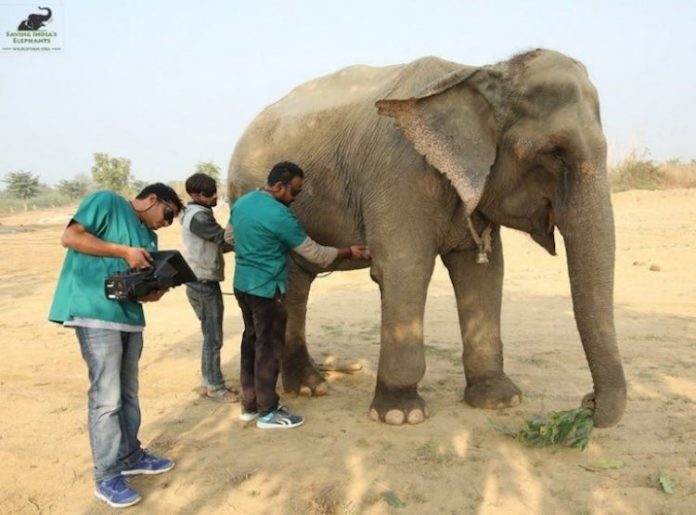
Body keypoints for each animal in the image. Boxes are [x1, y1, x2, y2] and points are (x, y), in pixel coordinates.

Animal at [227, 49, 627, 428]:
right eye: (554, 152)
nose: (587, 403)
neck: (478, 72)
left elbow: (484, 271)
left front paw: (500, 400)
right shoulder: (400, 171)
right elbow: (405, 269)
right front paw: (400, 415)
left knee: (295, 284)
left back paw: (308, 386)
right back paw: (308, 389)